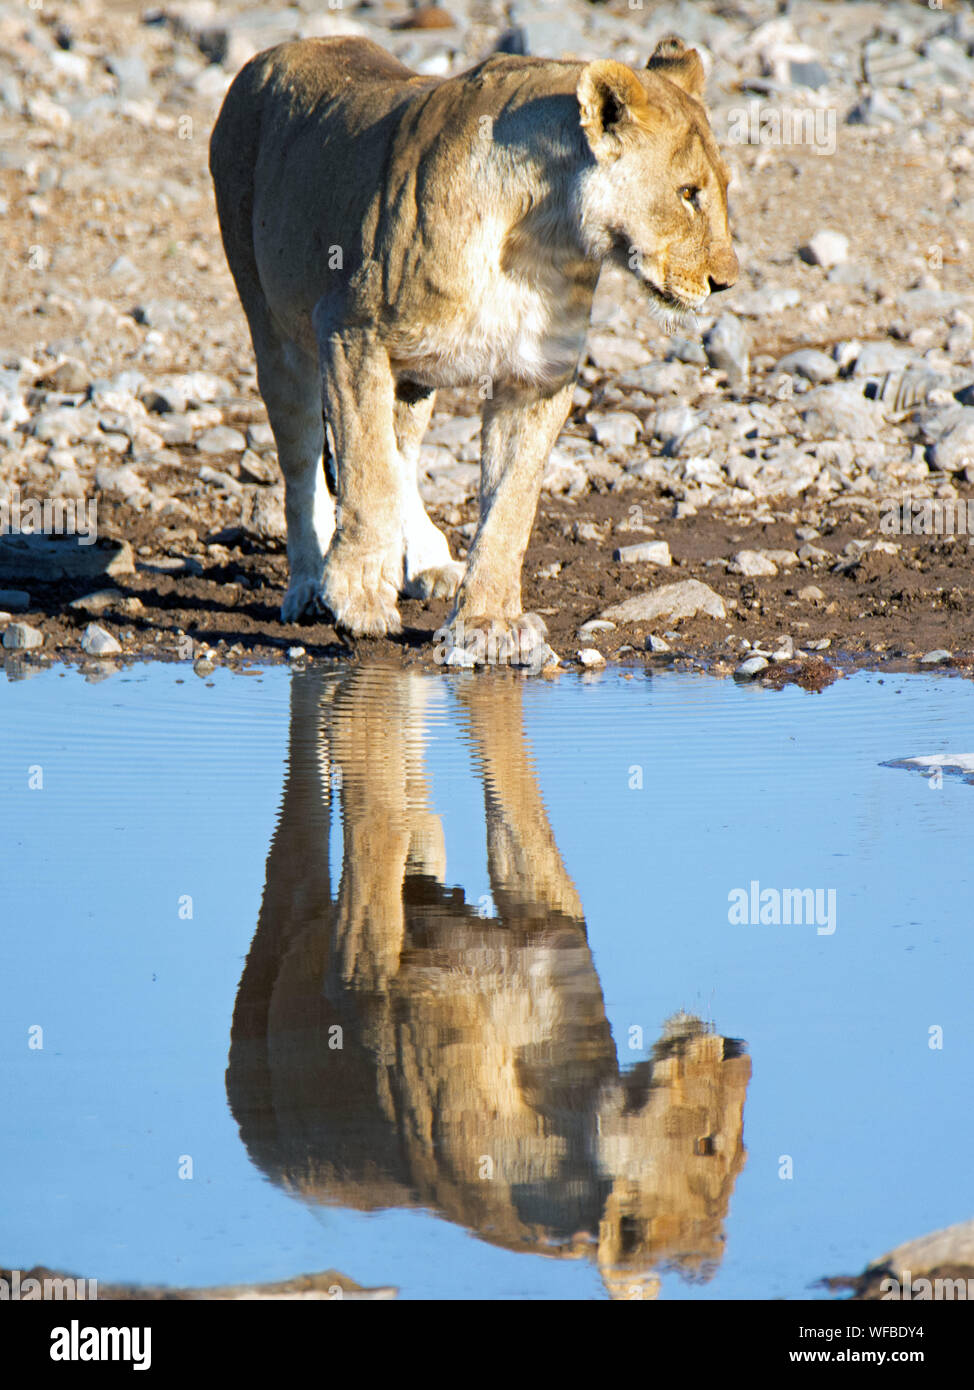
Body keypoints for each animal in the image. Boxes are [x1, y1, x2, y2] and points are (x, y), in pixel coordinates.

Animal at [210, 35, 738, 664]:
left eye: (722, 190)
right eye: (687, 194)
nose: (725, 282)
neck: (541, 238)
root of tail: (278, 51)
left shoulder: (536, 378)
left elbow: (509, 505)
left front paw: (486, 621)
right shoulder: (349, 326)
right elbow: (366, 471)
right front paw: (358, 598)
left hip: (412, 377)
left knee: (401, 450)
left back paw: (428, 563)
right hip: (274, 329)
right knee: (304, 462)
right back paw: (311, 587)